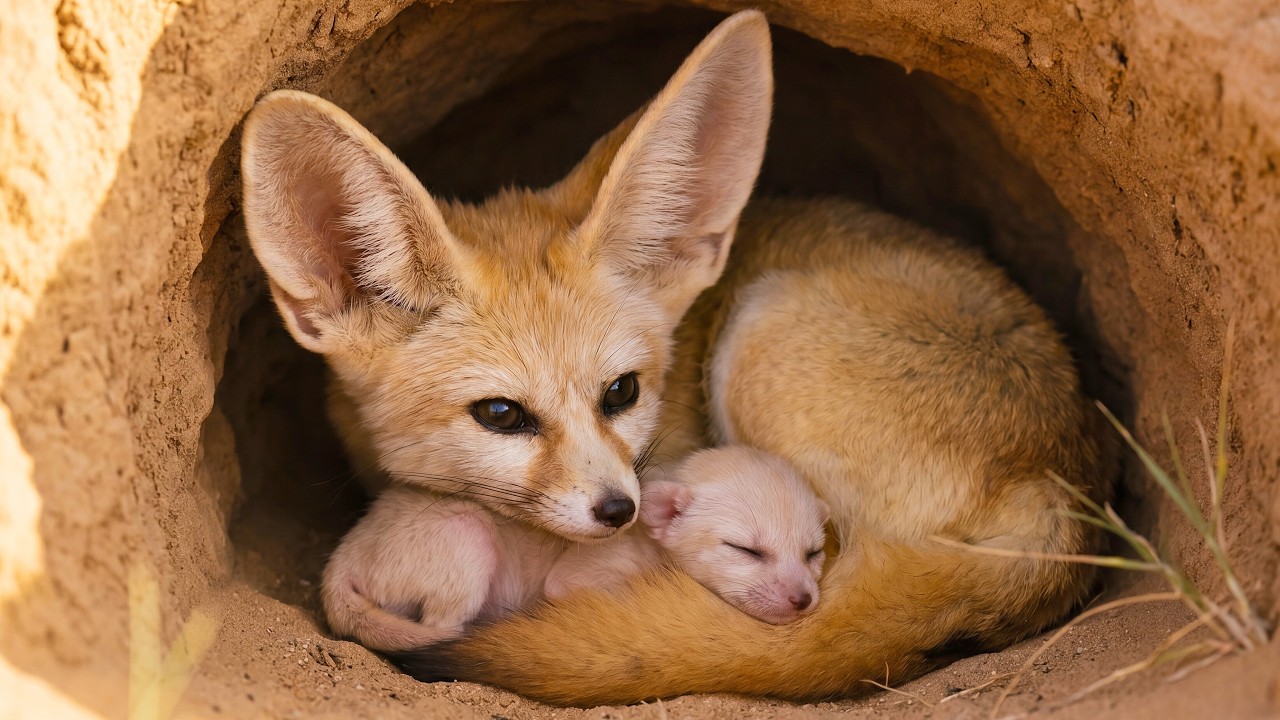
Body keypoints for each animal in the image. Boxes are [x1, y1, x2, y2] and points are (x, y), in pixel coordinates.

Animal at [321, 445, 830, 652]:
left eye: (814, 553)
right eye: (745, 550)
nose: (803, 601)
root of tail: (344, 556)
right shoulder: (578, 576)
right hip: (468, 535)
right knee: (441, 625)